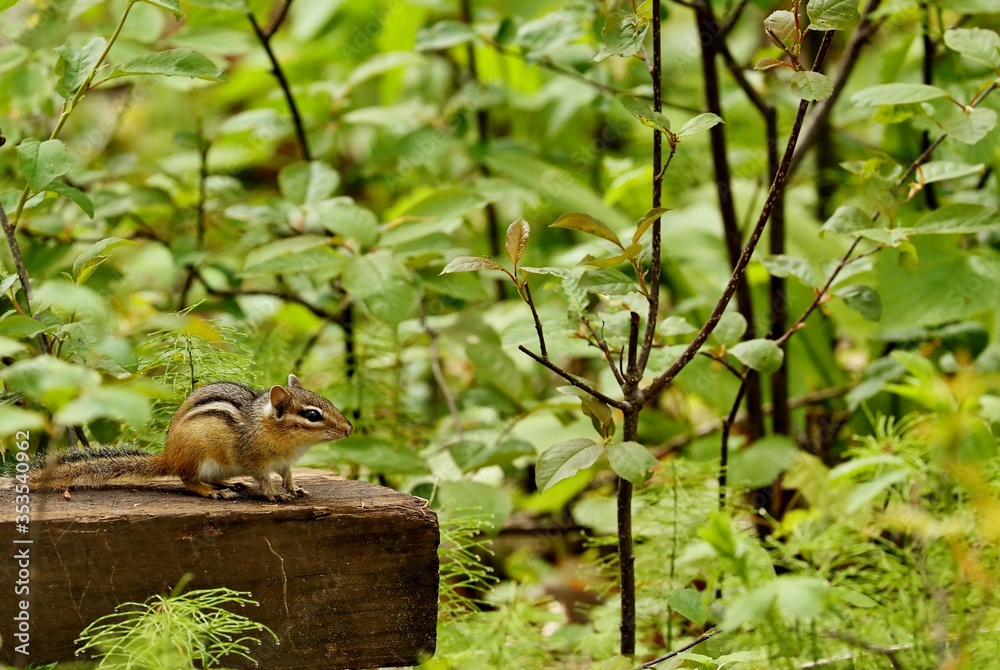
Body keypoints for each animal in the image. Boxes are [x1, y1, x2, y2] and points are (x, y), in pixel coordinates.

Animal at [30, 374, 353, 501]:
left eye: (325, 401)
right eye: (312, 415)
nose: (349, 429)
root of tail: (170, 456)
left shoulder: (285, 462)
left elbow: (287, 474)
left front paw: (294, 488)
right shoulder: (255, 460)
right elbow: (263, 479)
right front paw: (274, 493)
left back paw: (228, 484)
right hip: (199, 456)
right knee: (188, 481)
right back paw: (213, 491)